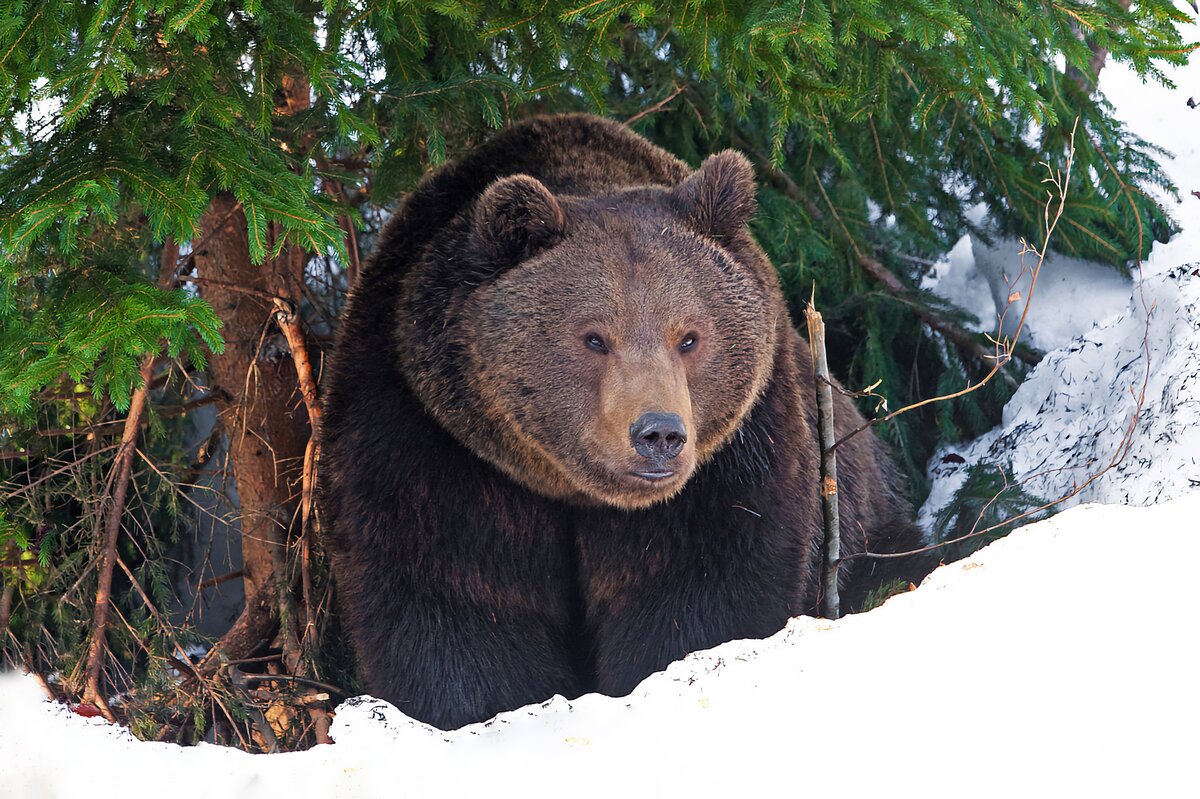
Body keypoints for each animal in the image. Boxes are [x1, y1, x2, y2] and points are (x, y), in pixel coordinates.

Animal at [316, 112, 916, 729]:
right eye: (594, 338)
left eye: (689, 336)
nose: (659, 434)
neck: (571, 491)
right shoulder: (429, 440)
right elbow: (452, 602)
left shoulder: (737, 458)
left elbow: (701, 590)